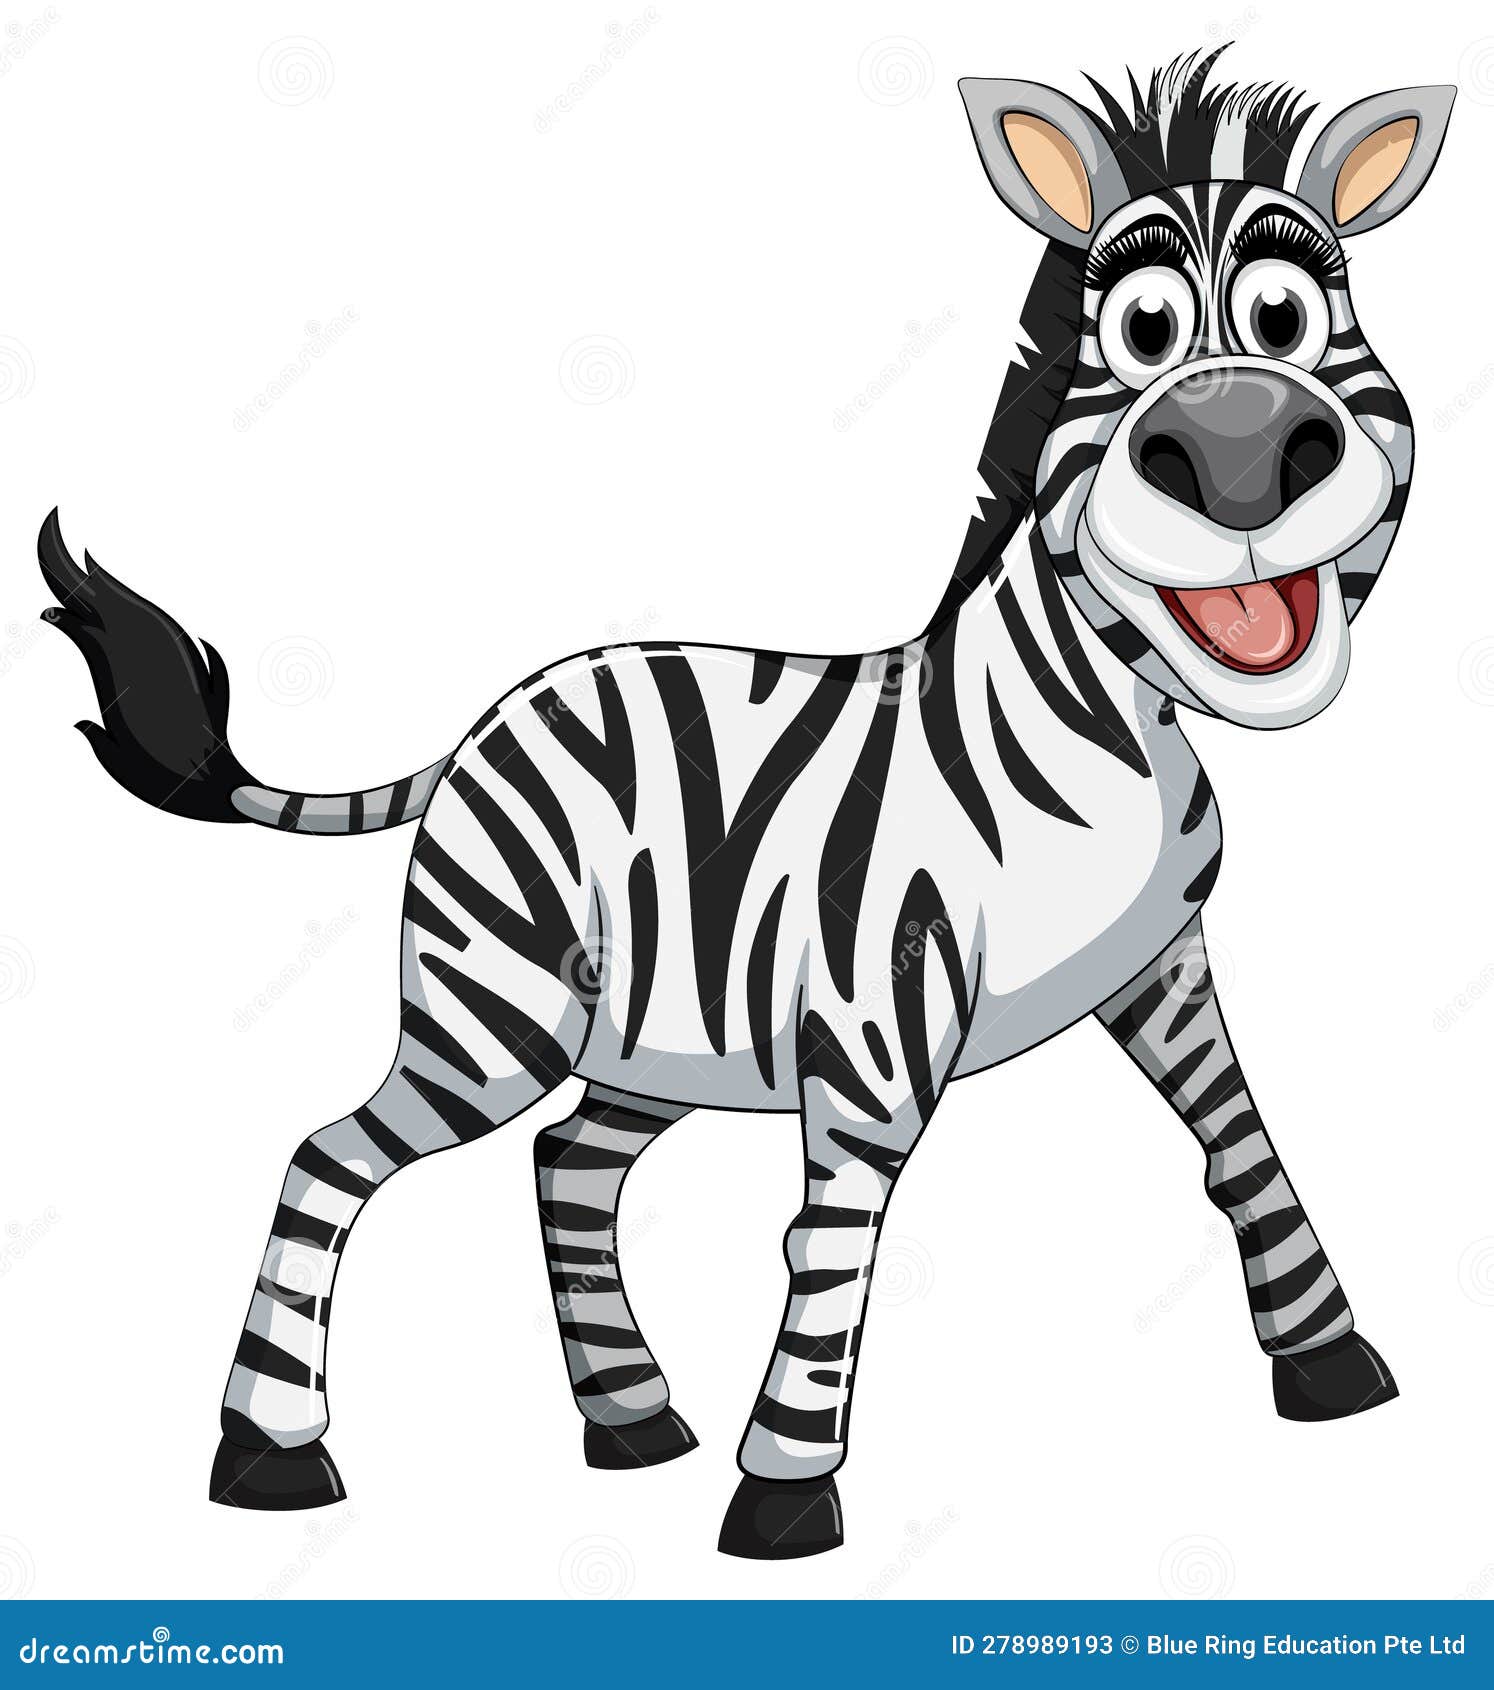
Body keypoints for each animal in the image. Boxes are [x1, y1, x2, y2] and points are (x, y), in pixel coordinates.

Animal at [38, 50, 1453, 1559]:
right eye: (1135, 332)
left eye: (1290, 316)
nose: (1241, 448)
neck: (1105, 730)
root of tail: (491, 718)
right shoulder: (874, 1025)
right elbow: (830, 1246)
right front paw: (783, 1490)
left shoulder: (1158, 968)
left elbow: (1242, 1143)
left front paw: (1327, 1359)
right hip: (499, 1016)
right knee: (332, 1152)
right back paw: (273, 1446)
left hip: (654, 1033)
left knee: (566, 1164)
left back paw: (628, 1417)